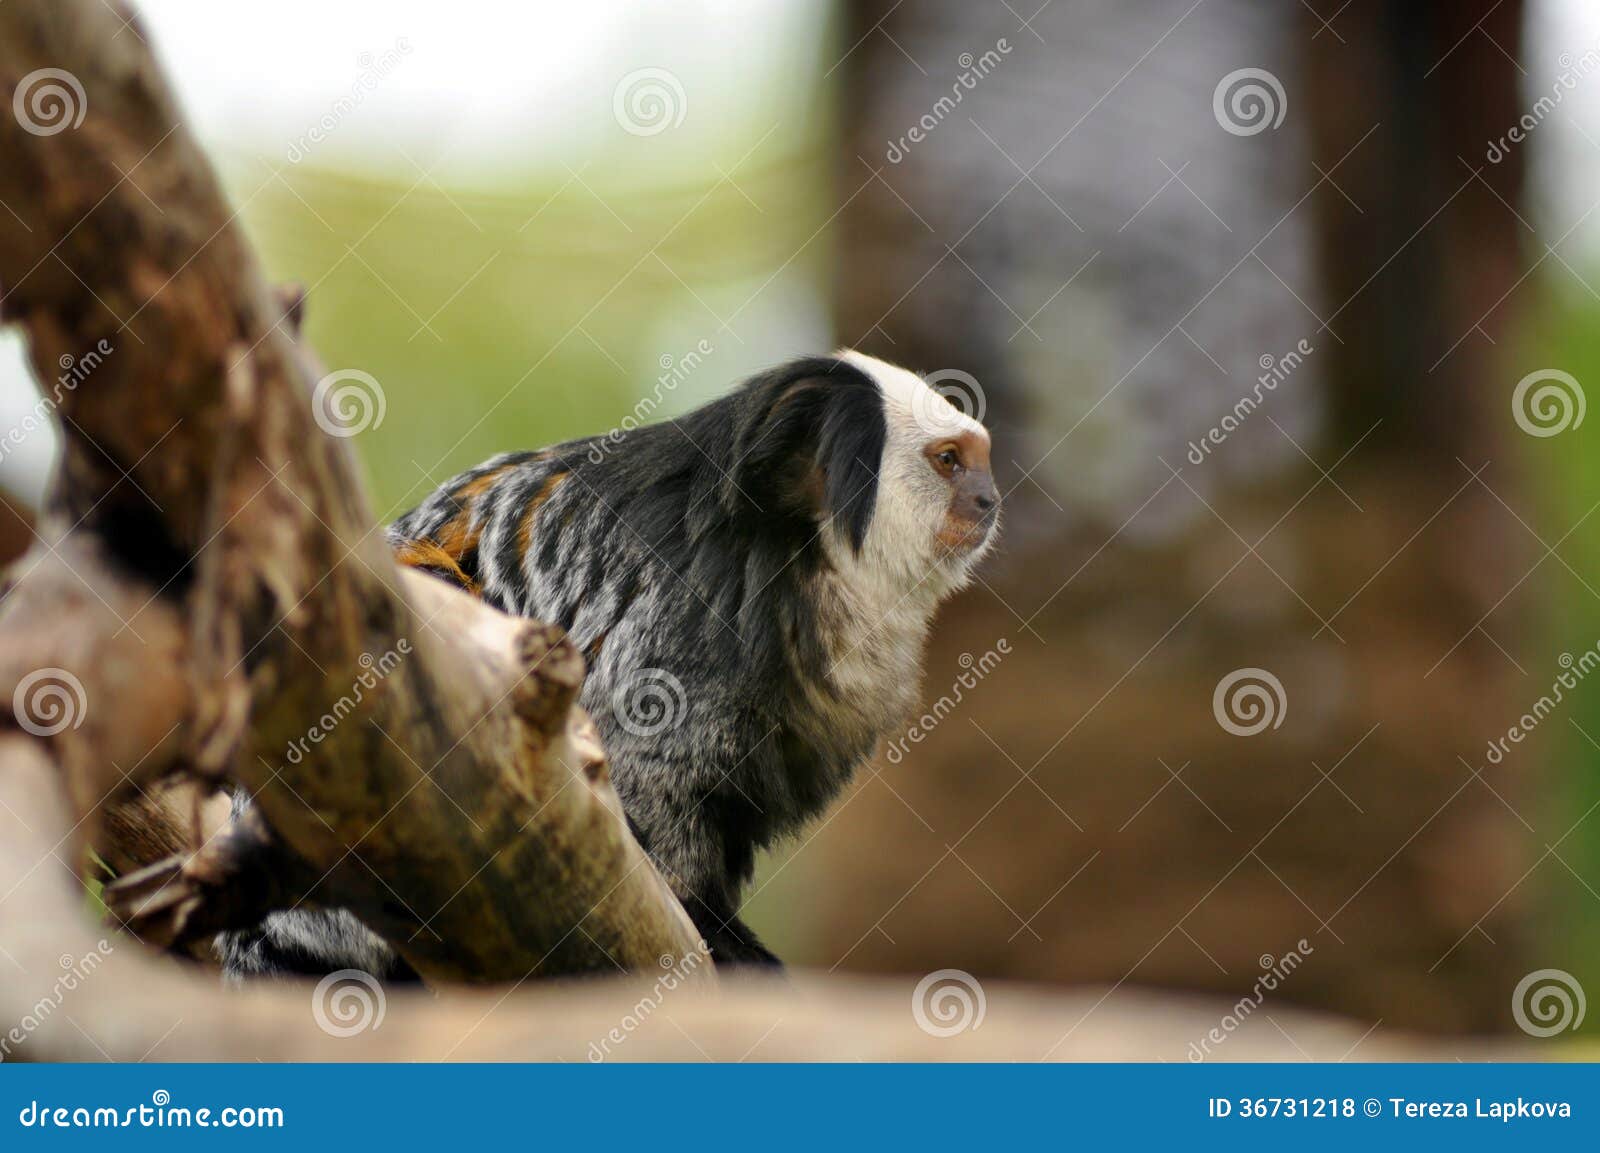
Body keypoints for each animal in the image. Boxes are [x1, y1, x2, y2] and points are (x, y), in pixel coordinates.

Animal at [219, 350, 999, 977]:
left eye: (978, 460)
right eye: (949, 460)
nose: (990, 498)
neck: (798, 556)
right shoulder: (677, 616)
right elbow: (639, 761)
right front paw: (711, 926)